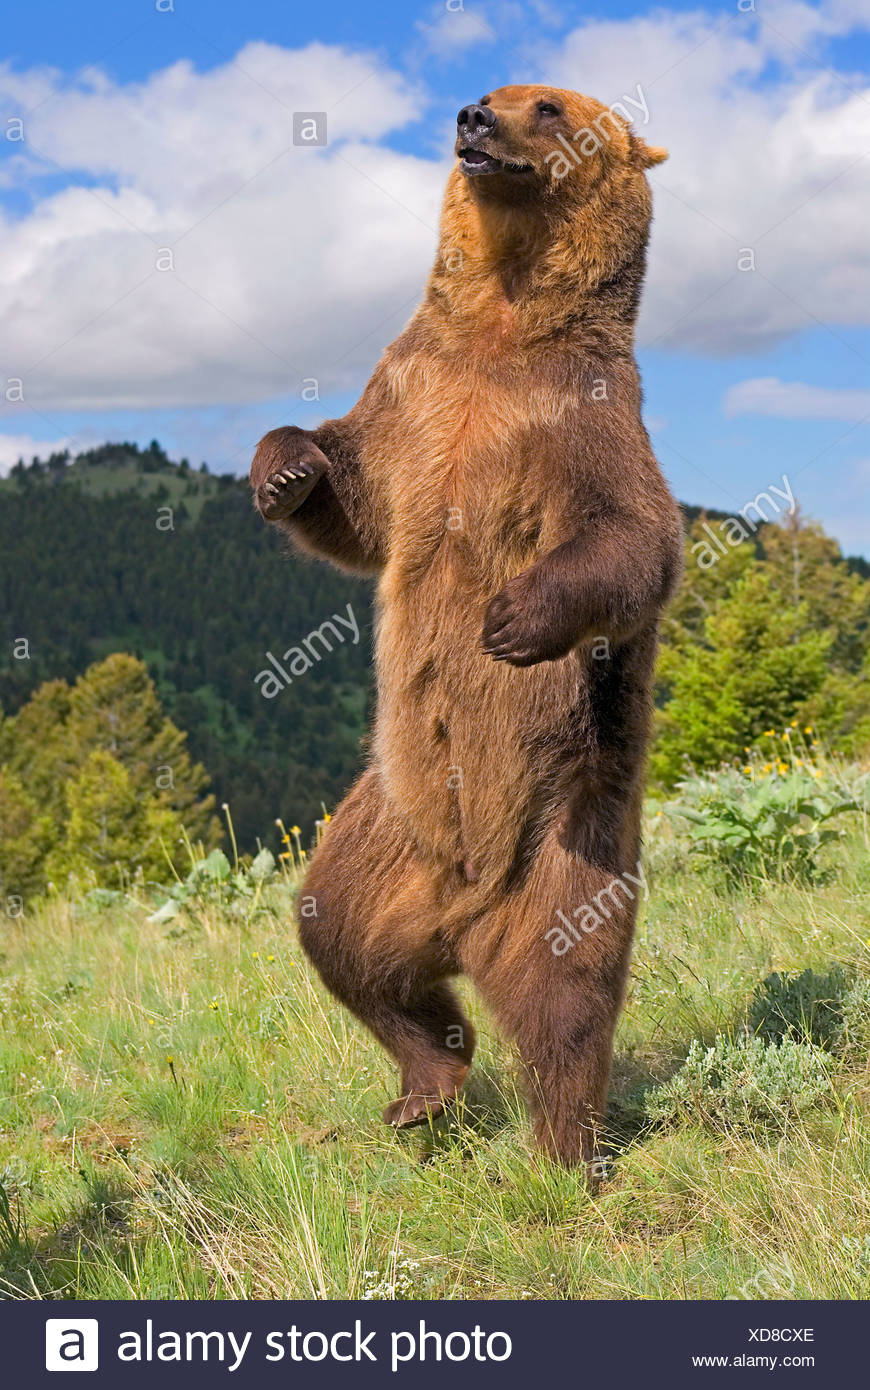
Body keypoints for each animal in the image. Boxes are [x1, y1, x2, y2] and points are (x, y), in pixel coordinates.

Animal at [250, 85, 683, 1168]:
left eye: (550, 106)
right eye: (496, 92)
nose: (473, 118)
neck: (503, 319)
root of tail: (467, 911)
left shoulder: (582, 415)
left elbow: (634, 536)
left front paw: (512, 618)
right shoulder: (415, 390)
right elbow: (356, 494)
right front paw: (283, 467)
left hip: (571, 853)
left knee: (569, 1009)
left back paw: (567, 1156)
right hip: (384, 834)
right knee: (340, 939)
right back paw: (424, 1086)